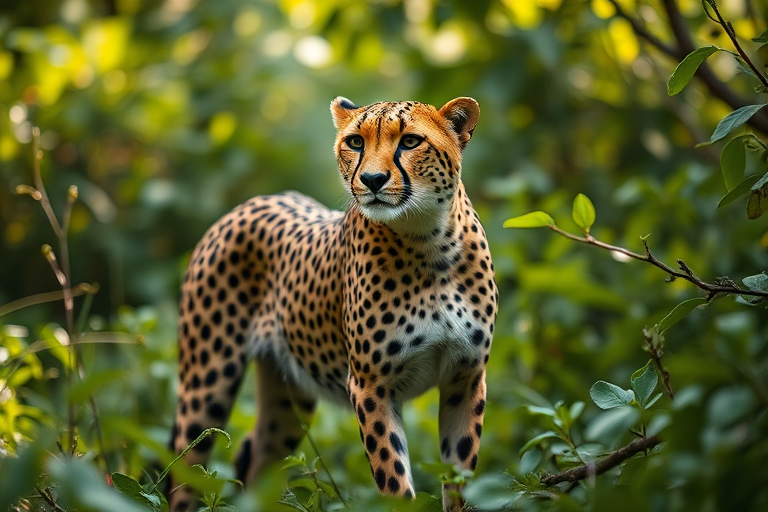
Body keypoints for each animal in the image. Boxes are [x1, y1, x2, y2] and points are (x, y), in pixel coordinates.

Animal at [168, 96, 498, 512]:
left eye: (410, 141)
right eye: (355, 142)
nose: (372, 180)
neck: (429, 240)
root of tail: (253, 202)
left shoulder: (465, 378)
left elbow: (458, 481)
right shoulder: (371, 386)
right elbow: (394, 481)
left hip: (288, 400)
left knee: (259, 461)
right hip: (206, 384)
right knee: (183, 473)